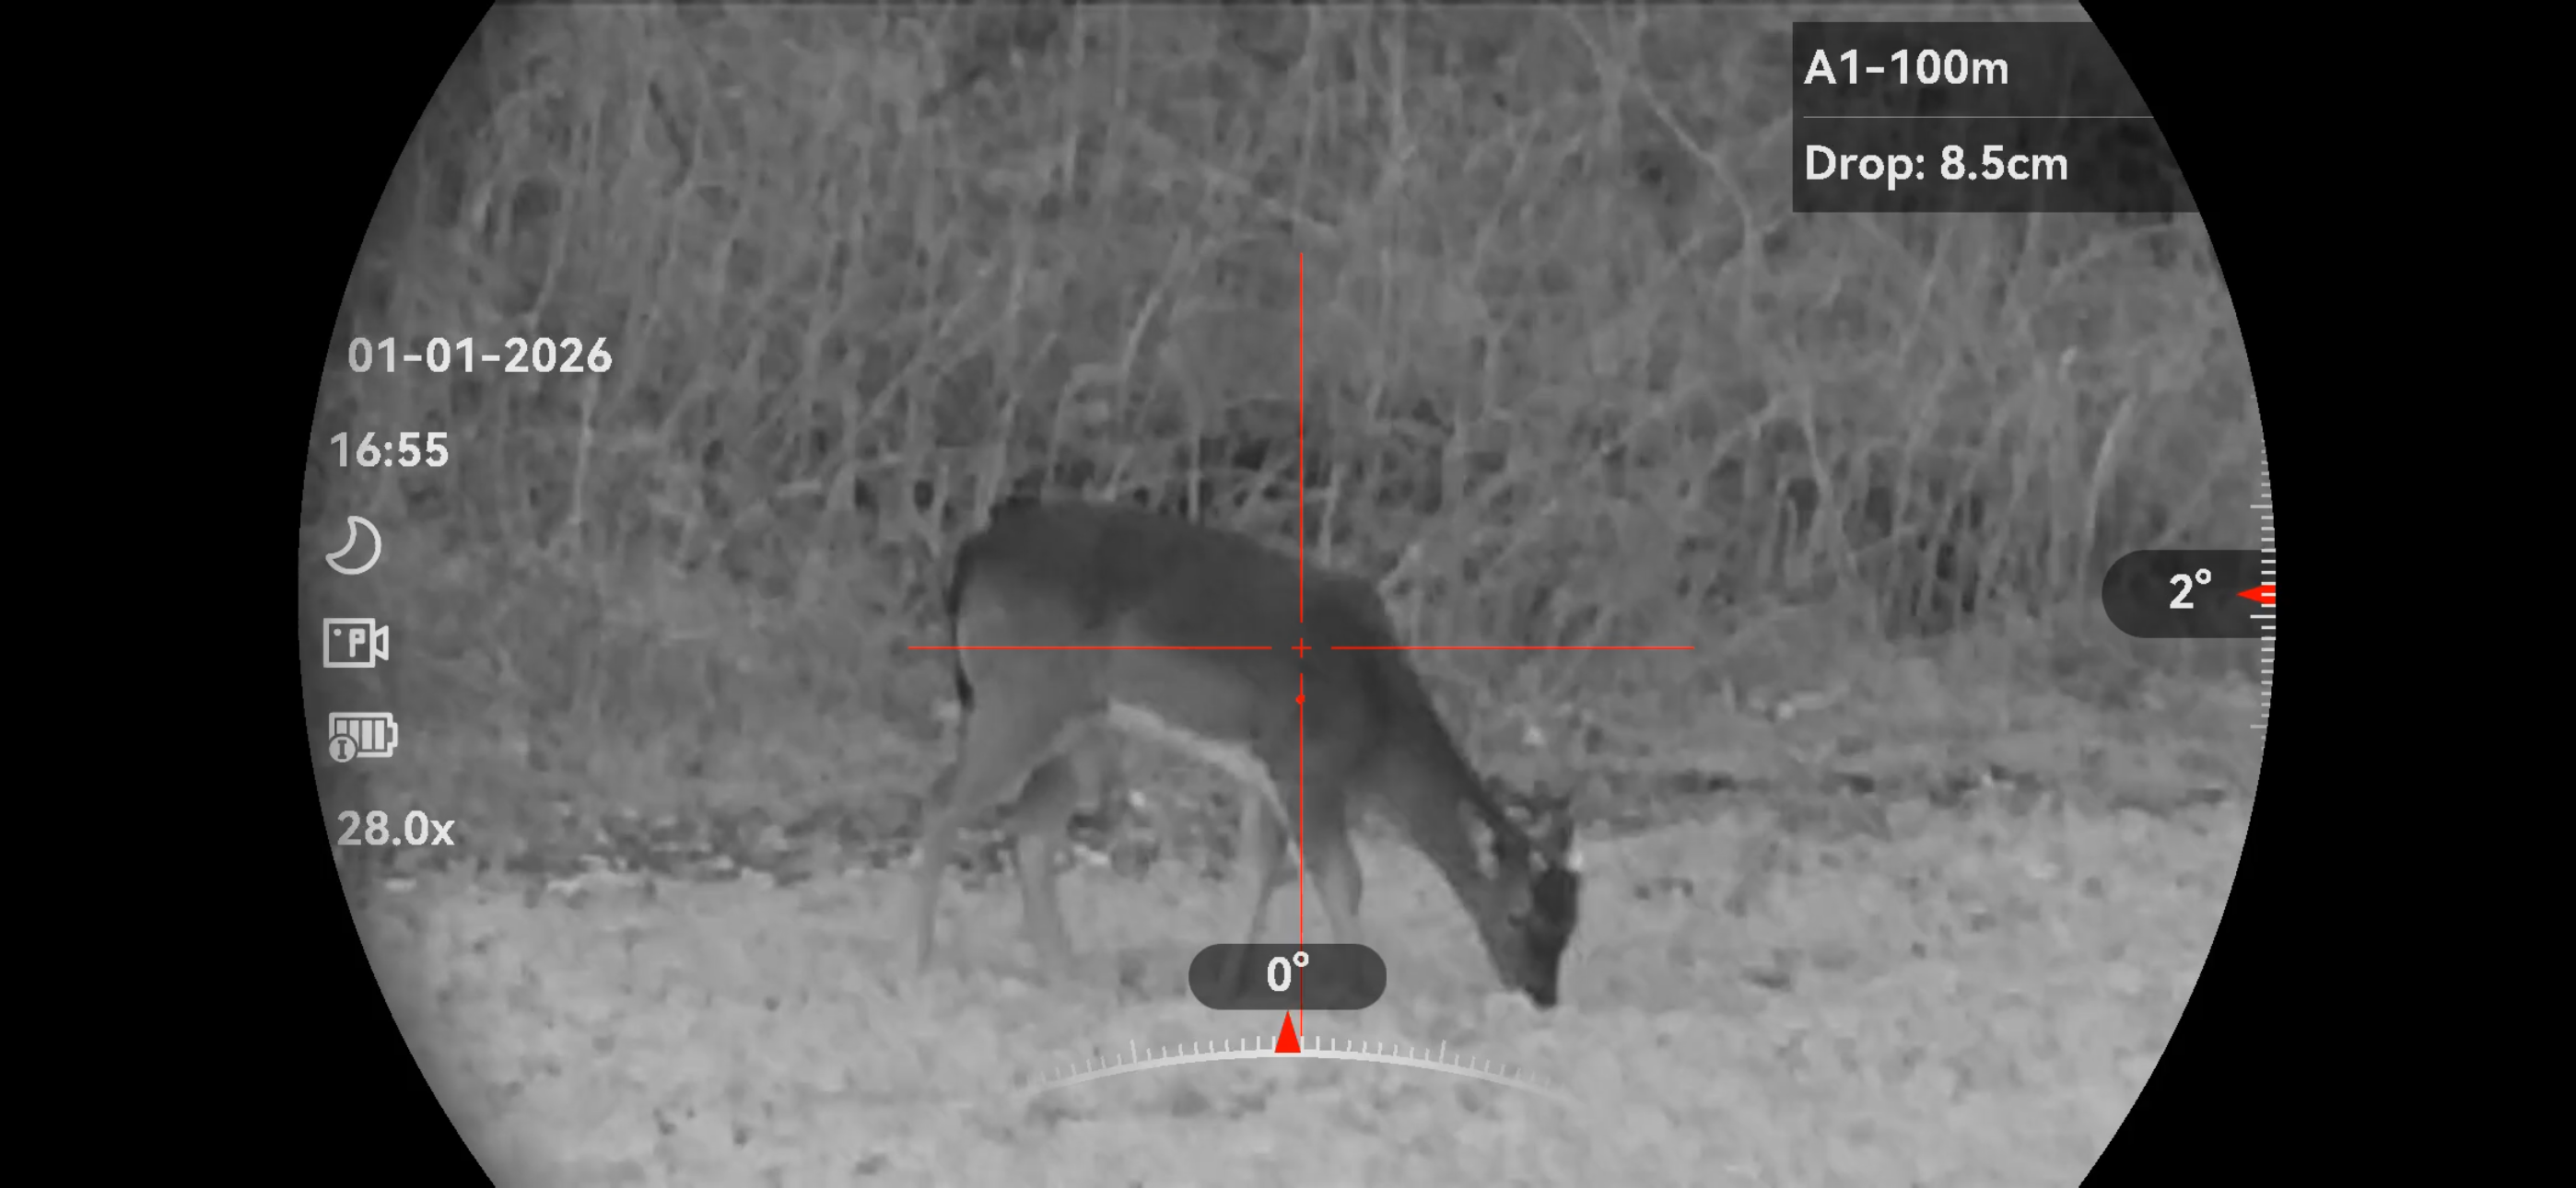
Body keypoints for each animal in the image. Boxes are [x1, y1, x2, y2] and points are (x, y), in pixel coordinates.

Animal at [908, 501, 1583, 1007]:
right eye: (1519, 913)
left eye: (1571, 921)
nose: (1542, 995)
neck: (1374, 729)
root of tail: (972, 553)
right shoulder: (1305, 764)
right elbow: (1343, 877)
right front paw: (1370, 996)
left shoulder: (1265, 774)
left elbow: (1258, 869)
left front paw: (1221, 988)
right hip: (1019, 695)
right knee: (944, 801)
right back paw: (914, 955)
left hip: (1074, 723)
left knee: (1031, 829)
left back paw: (1067, 974)